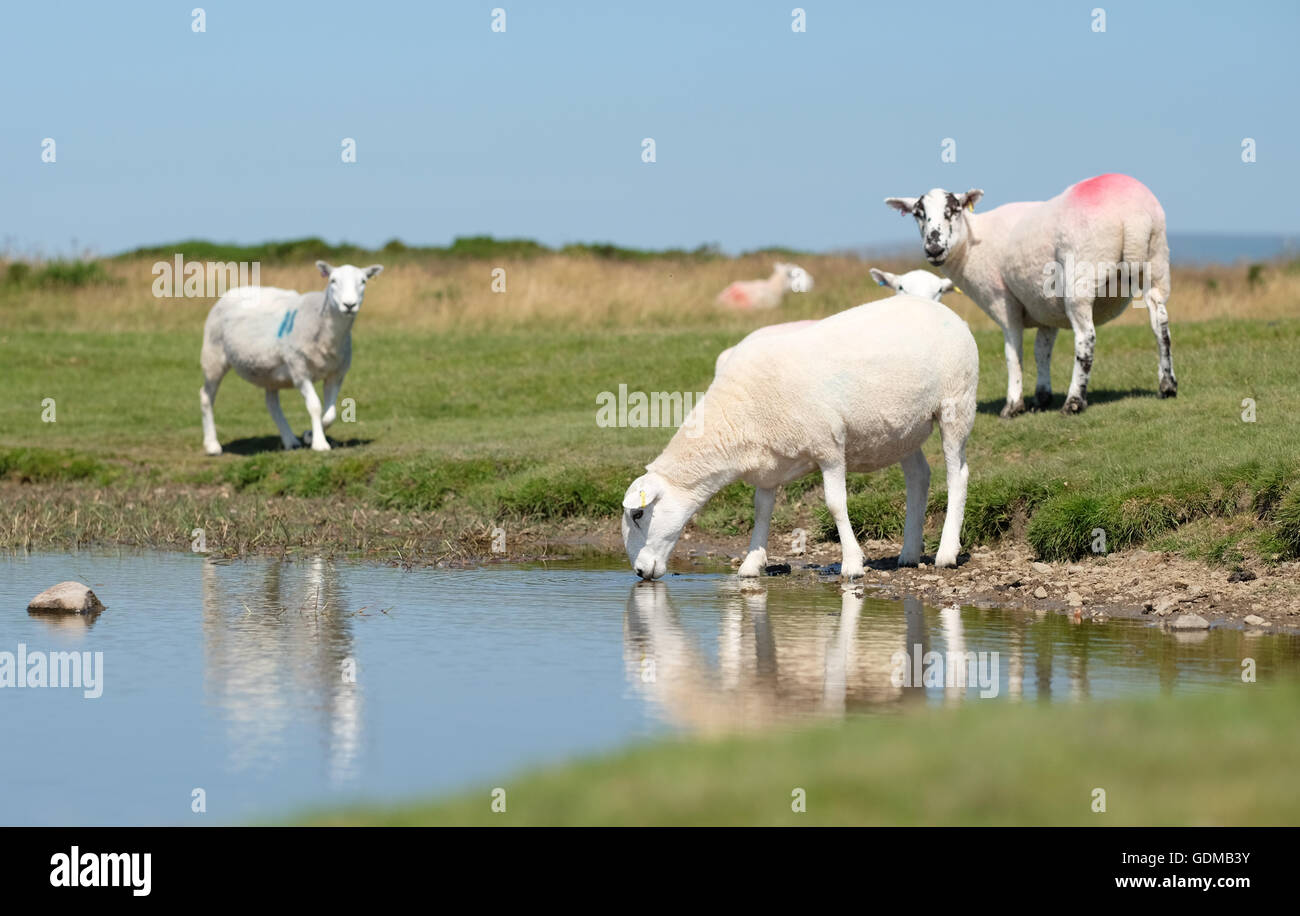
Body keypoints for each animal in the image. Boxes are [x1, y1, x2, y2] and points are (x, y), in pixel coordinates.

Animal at [199, 261, 383, 455]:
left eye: (363, 281)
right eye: (332, 280)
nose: (349, 305)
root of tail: (232, 291)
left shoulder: (336, 374)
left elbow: (330, 414)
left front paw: (309, 435)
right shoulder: (298, 368)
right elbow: (315, 406)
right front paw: (319, 443)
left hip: (268, 371)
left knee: (272, 404)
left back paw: (290, 440)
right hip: (213, 355)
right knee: (206, 396)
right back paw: (212, 445)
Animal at [622, 294, 978, 580]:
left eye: (638, 514)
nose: (639, 571)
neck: (740, 415)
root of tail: (936, 306)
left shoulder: (828, 445)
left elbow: (835, 503)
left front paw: (852, 563)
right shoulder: (768, 467)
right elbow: (761, 510)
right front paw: (751, 564)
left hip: (956, 404)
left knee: (957, 474)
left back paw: (946, 552)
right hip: (903, 429)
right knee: (919, 476)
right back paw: (909, 553)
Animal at [884, 173, 1176, 417]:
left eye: (954, 210)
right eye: (917, 213)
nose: (933, 248)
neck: (972, 245)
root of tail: (1134, 216)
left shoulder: (1003, 302)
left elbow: (1013, 353)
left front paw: (1013, 405)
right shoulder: (1045, 306)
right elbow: (1042, 350)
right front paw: (1042, 396)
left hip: (1081, 275)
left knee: (1086, 338)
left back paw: (1074, 401)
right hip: (1157, 264)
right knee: (1160, 323)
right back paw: (1167, 385)